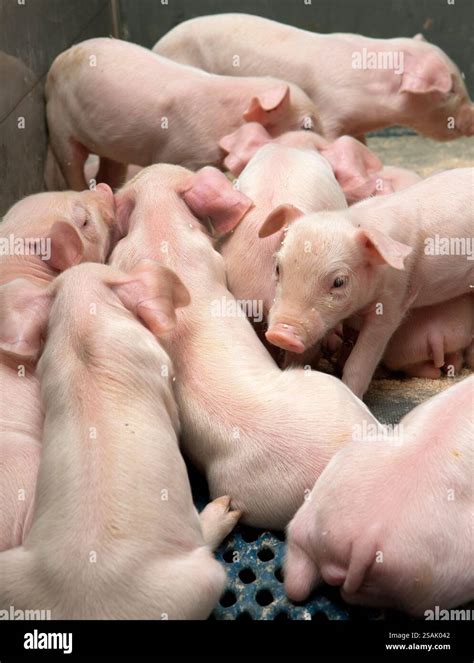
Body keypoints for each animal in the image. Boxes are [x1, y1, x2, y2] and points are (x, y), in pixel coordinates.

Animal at [0, 260, 240, 618]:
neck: (83, 332)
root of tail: (88, 606)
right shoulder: (158, 365)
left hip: (11, 574)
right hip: (202, 580)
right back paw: (226, 509)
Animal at [45, 37, 319, 190]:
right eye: (307, 126)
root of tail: (58, 60)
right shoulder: (183, 153)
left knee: (110, 169)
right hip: (58, 125)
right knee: (72, 166)